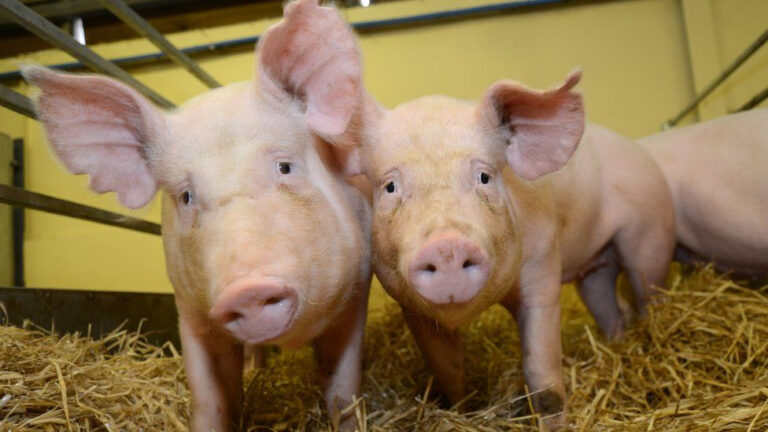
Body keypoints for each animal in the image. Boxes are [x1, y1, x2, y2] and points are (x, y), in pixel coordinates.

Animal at [23, 0, 371, 430]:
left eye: (285, 167)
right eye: (186, 196)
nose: (246, 289)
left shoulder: (357, 287)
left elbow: (342, 389)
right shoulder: (189, 311)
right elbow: (210, 396)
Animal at [357, 72, 675, 429]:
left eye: (484, 177)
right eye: (390, 187)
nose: (446, 246)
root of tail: (643, 153)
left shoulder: (543, 262)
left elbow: (541, 373)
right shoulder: (409, 305)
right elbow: (448, 369)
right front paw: (459, 411)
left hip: (650, 235)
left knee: (648, 290)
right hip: (596, 270)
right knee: (608, 306)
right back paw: (616, 341)